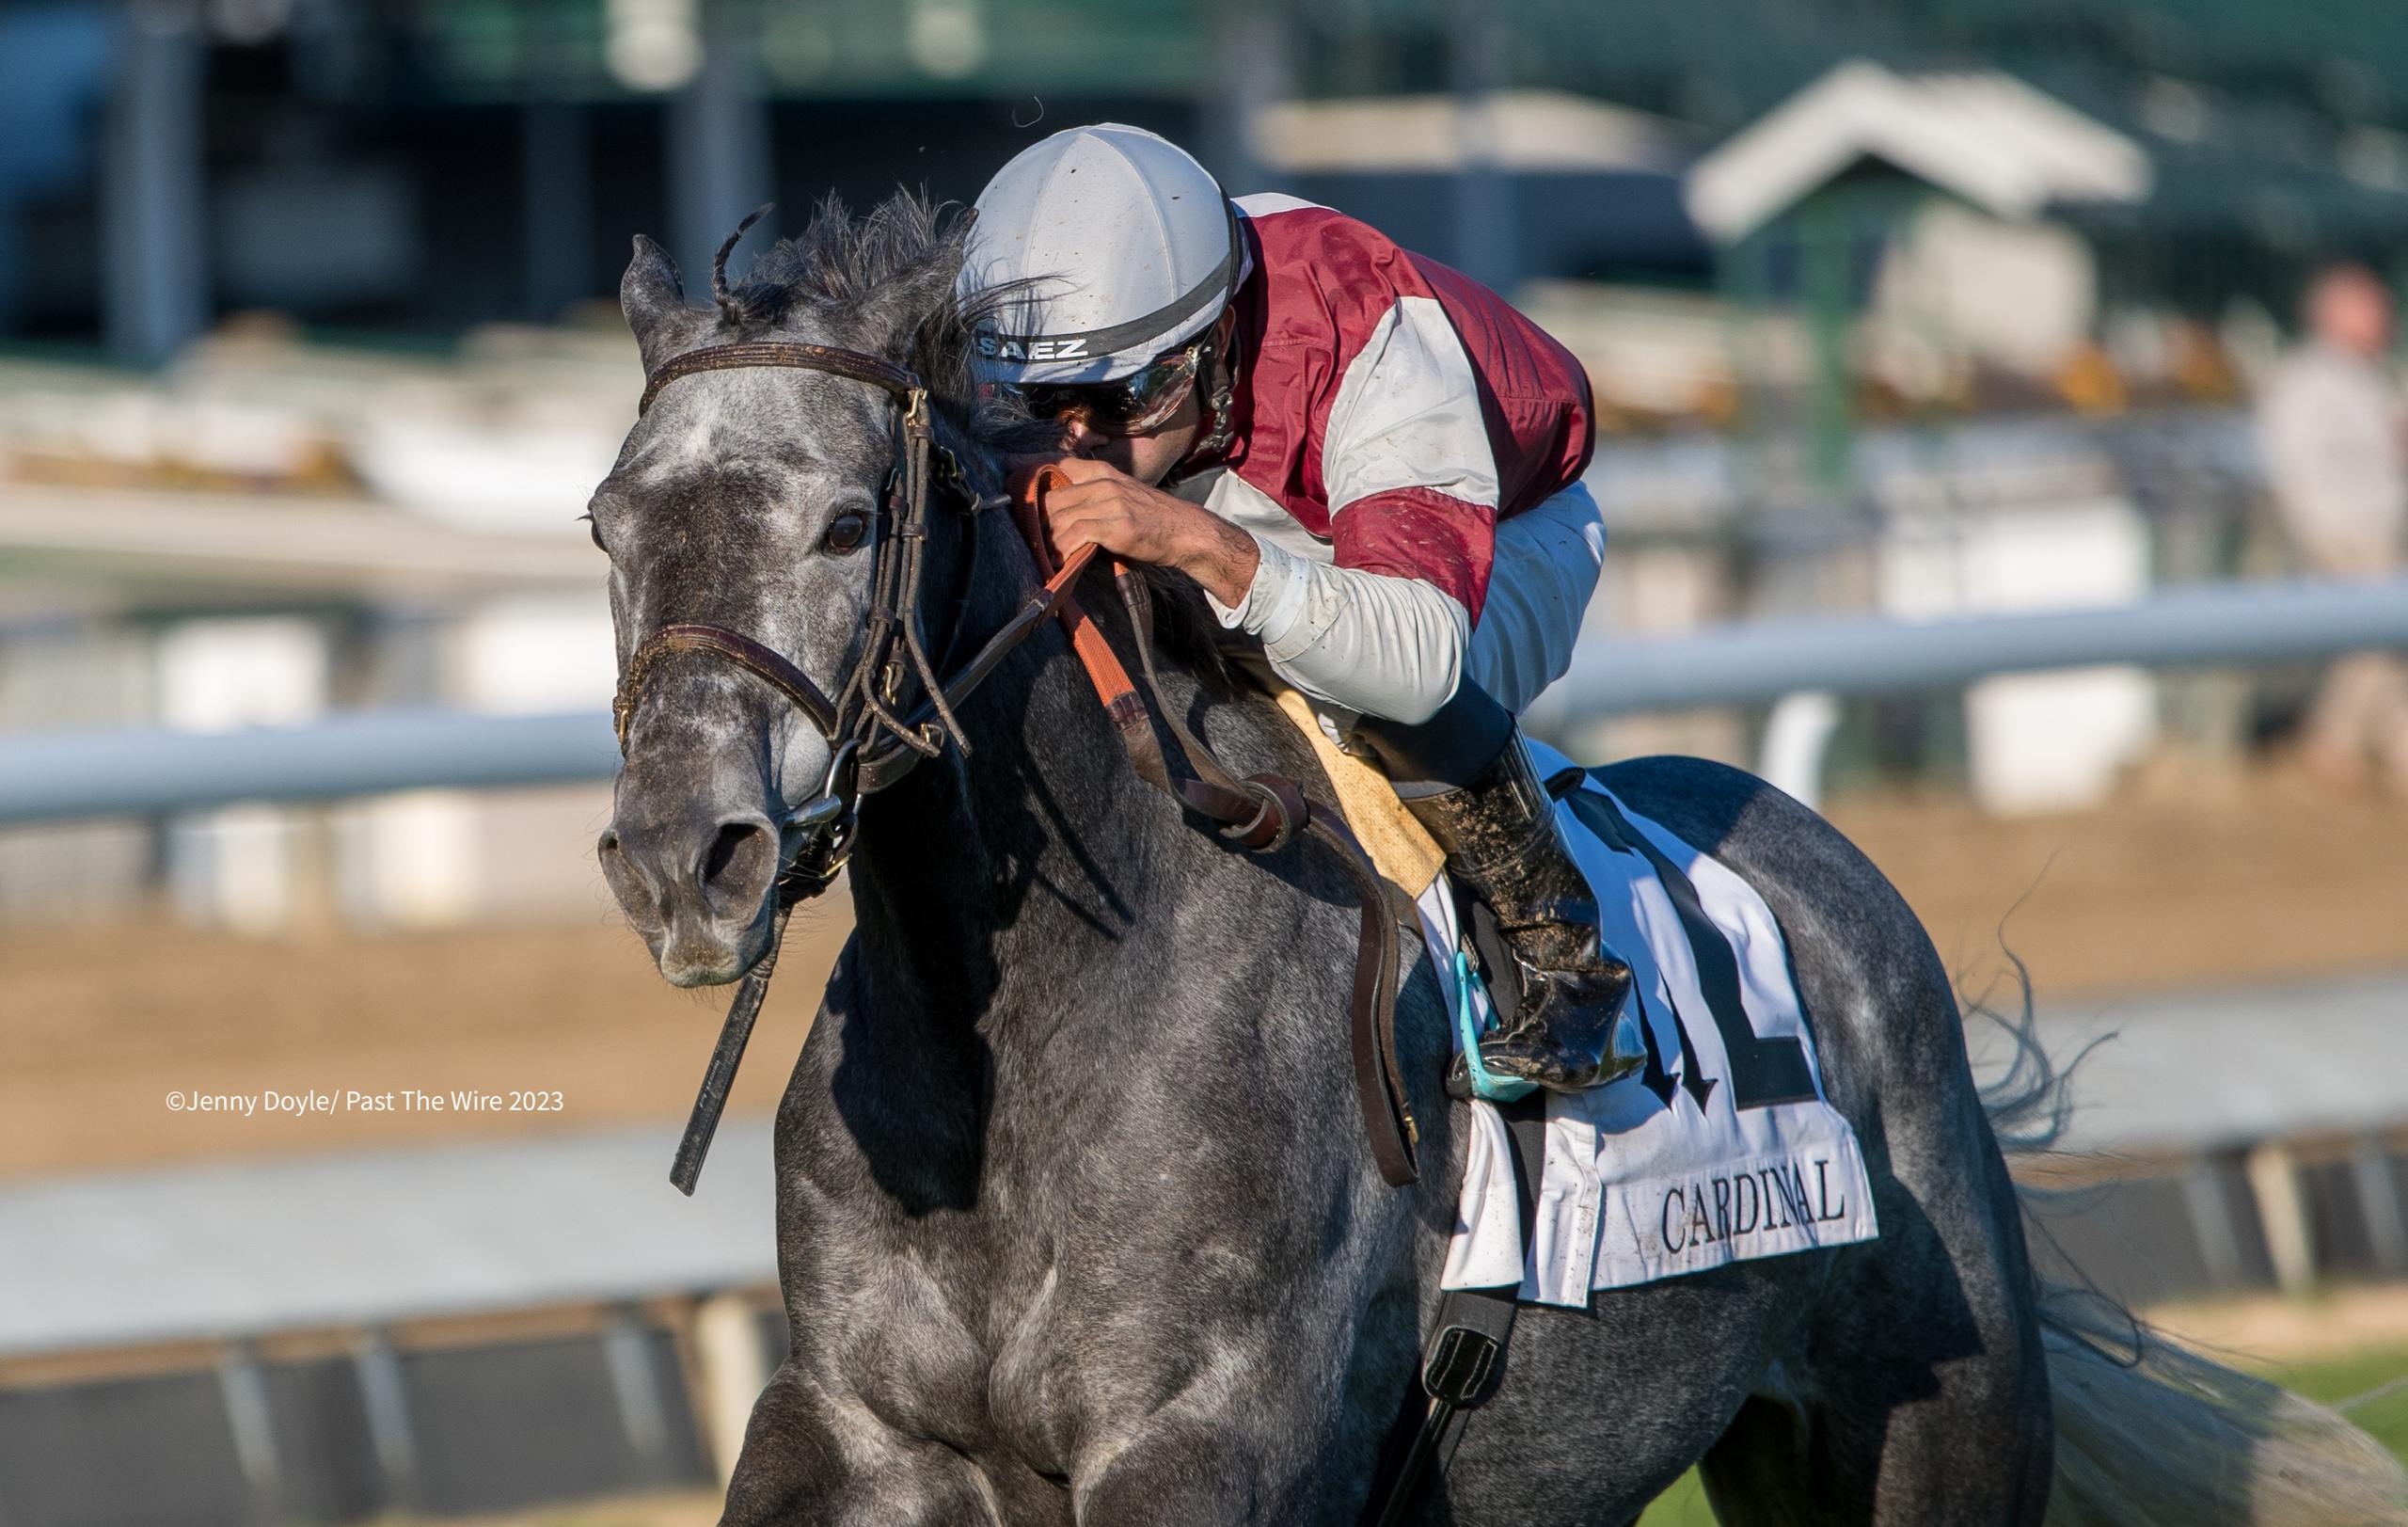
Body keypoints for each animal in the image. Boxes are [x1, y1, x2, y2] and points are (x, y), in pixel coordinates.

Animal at [590, 191, 2407, 1527]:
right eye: (609, 522)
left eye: (846, 522)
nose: (684, 857)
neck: (1021, 1051)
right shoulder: (848, 1424)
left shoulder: (1202, 1441)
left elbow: (1407, 625)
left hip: (1925, 1432)